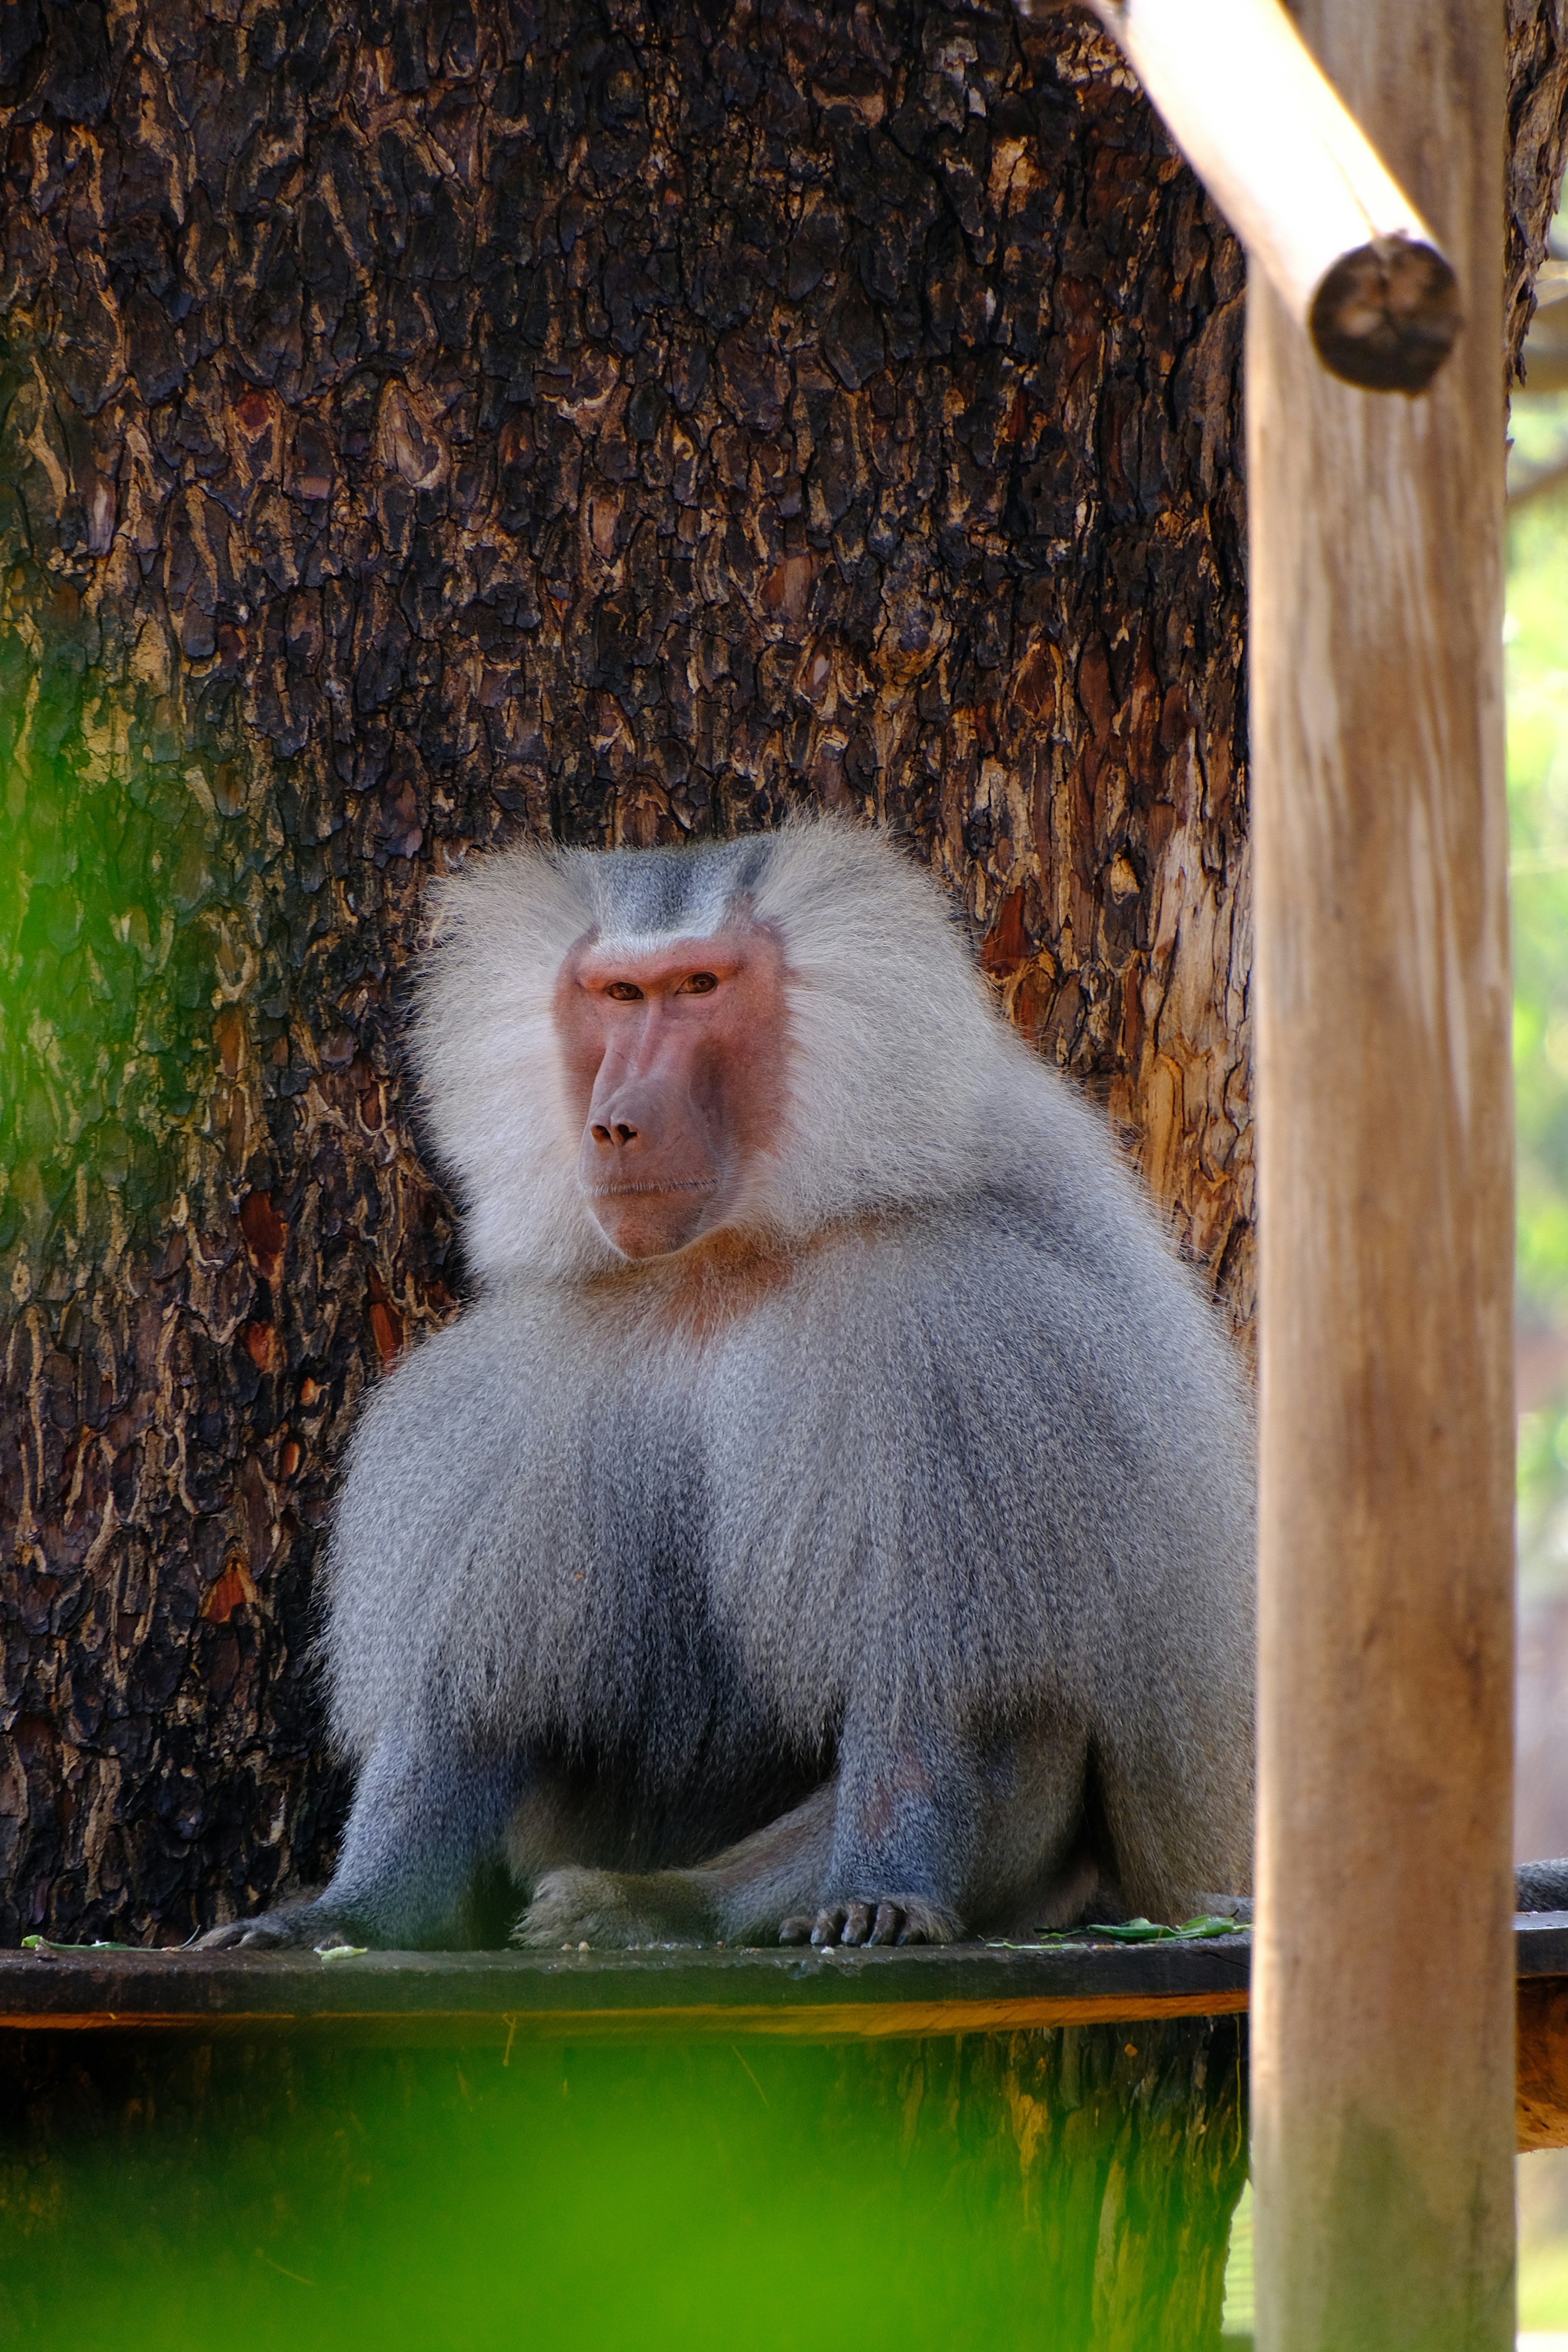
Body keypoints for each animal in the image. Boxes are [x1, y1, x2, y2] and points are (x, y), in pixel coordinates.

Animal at [201, 814, 1260, 1954]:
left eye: (700, 987)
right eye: (620, 995)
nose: (616, 1125)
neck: (725, 1262)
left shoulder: (945, 1330)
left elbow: (934, 1669)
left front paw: (878, 1895)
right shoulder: (551, 1362)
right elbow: (473, 1694)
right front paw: (348, 1913)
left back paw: (666, 1907)